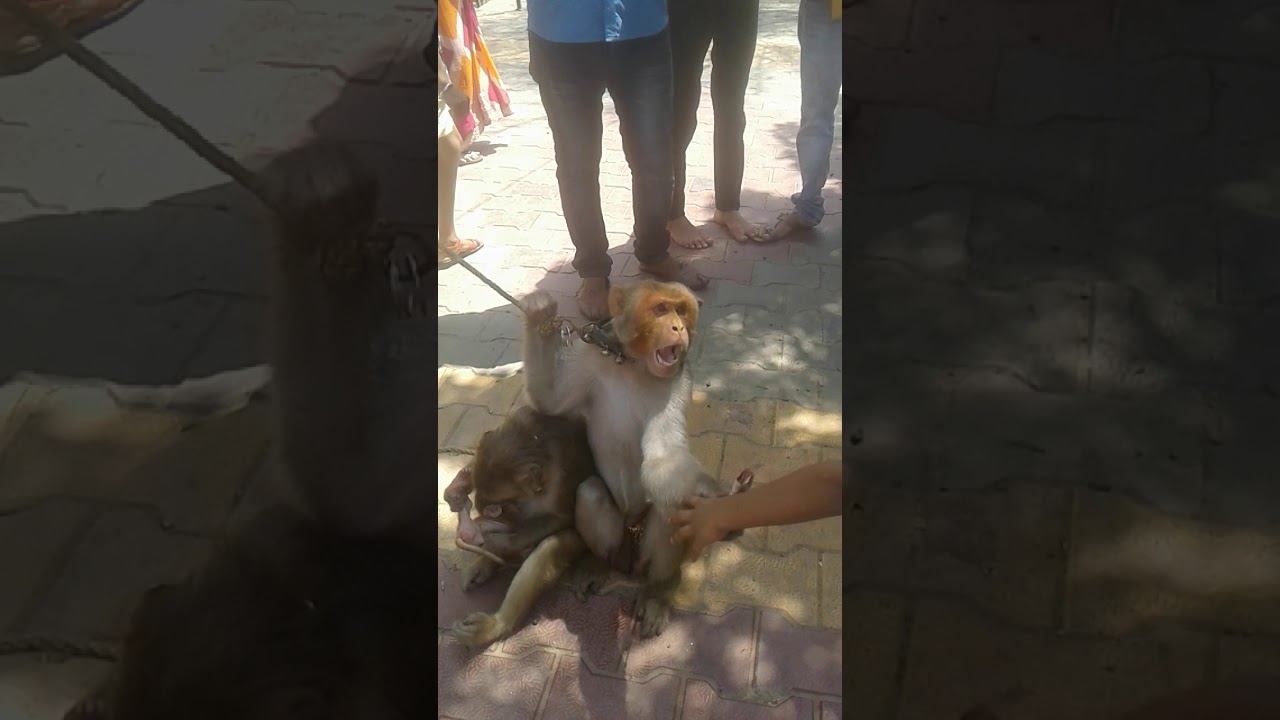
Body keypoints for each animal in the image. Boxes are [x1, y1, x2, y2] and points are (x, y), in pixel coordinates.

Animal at [518, 279, 739, 637]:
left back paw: (659, 590)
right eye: (661, 309)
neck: (633, 365)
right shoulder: (591, 355)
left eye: (681, 310)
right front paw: (540, 313)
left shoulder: (677, 381)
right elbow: (550, 402)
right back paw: (597, 565)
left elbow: (663, 459)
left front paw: (716, 497)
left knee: (669, 508)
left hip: (645, 552)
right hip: (619, 544)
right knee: (591, 492)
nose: (678, 328)